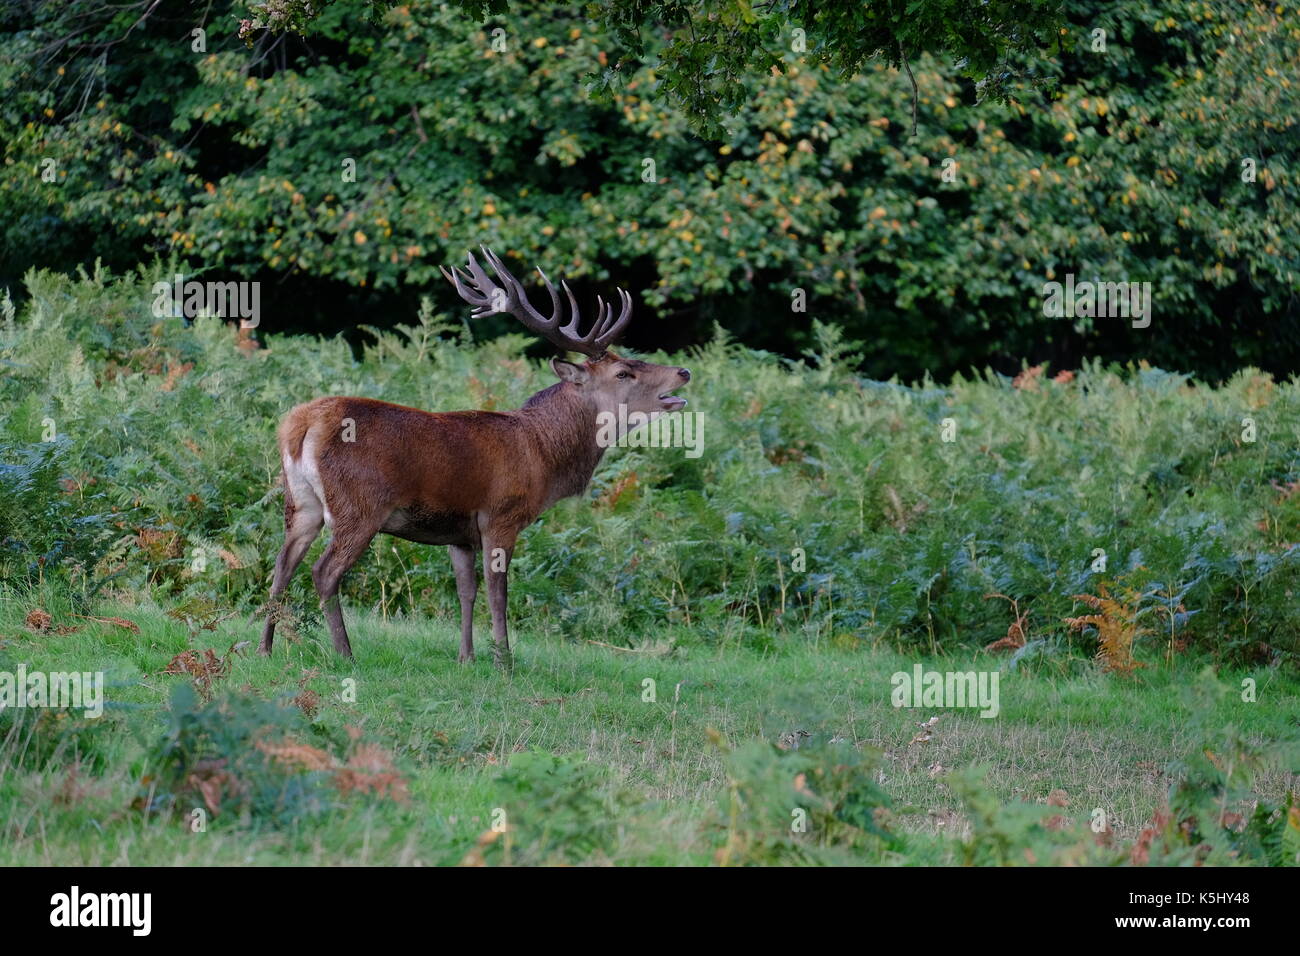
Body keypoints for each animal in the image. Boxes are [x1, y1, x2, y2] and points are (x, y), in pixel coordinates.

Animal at [259, 247, 691, 669]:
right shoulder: (501, 515)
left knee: (281, 565)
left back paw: (265, 648)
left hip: (300, 502)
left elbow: (466, 590)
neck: (544, 455)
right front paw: (504, 663)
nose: (683, 372)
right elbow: (499, 593)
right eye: (623, 373)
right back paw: (345, 654)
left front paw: (466, 658)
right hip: (359, 504)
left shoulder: (458, 530)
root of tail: (301, 425)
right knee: (323, 571)